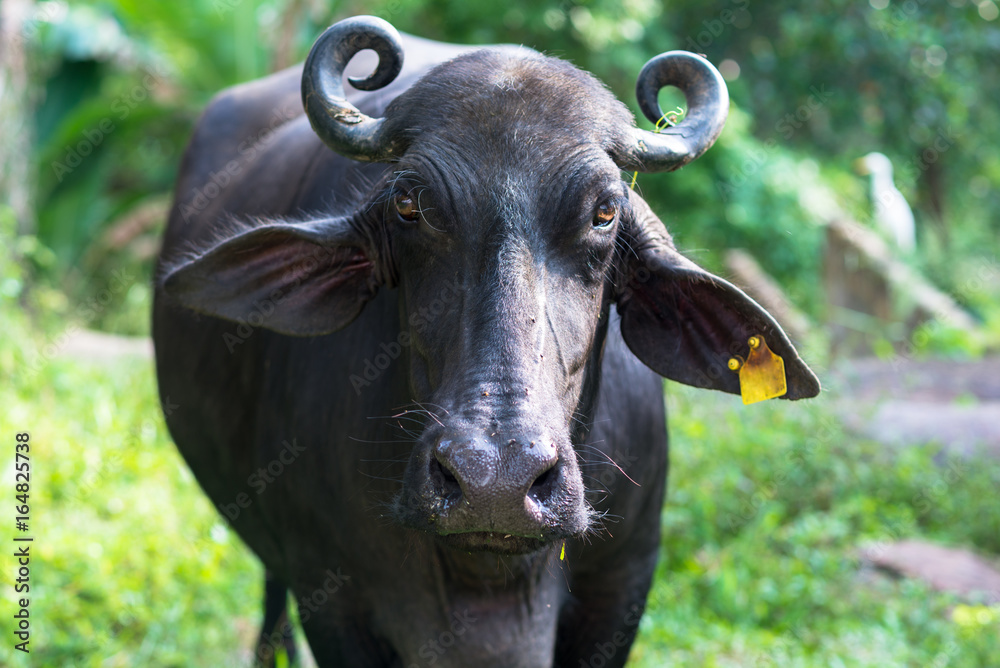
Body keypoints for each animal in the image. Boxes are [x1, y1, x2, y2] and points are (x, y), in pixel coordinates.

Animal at [153, 15, 819, 667]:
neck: (491, 580)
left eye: (604, 213)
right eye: (408, 204)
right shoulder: (332, 597)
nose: (495, 482)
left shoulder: (623, 585)